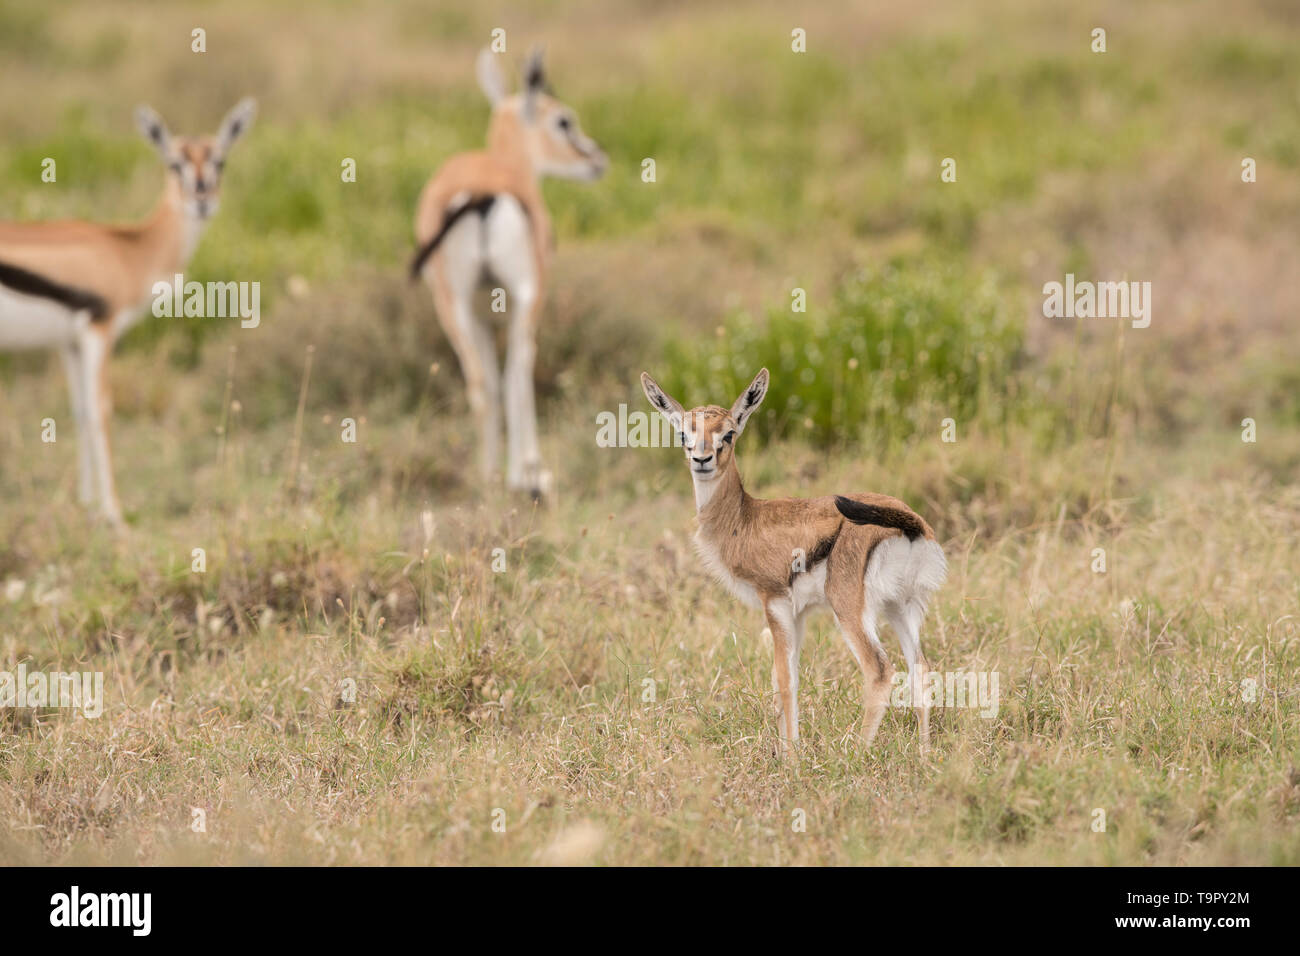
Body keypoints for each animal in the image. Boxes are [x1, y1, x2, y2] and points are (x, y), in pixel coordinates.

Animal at [0, 98, 257, 526]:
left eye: (220, 161)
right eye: (174, 163)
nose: (202, 200)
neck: (129, 250)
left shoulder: (70, 342)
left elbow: (80, 412)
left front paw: (86, 506)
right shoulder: (99, 330)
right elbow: (101, 411)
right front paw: (114, 513)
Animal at [410, 47, 606, 498]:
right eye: (563, 121)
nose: (596, 159)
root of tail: (481, 193)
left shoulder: (481, 312)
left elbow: (493, 381)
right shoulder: (530, 296)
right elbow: (520, 375)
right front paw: (531, 473)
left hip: (452, 305)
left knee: (481, 383)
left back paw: (487, 479)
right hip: (524, 295)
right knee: (518, 372)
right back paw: (525, 477)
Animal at [640, 368, 947, 756]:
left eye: (729, 433)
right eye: (684, 433)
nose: (702, 460)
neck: (743, 519)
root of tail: (911, 523)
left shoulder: (774, 603)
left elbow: (783, 680)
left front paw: (790, 759)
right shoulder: (798, 613)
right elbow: (790, 677)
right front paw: (790, 750)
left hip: (850, 610)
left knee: (880, 670)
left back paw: (851, 755)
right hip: (900, 607)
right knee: (920, 668)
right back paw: (924, 755)